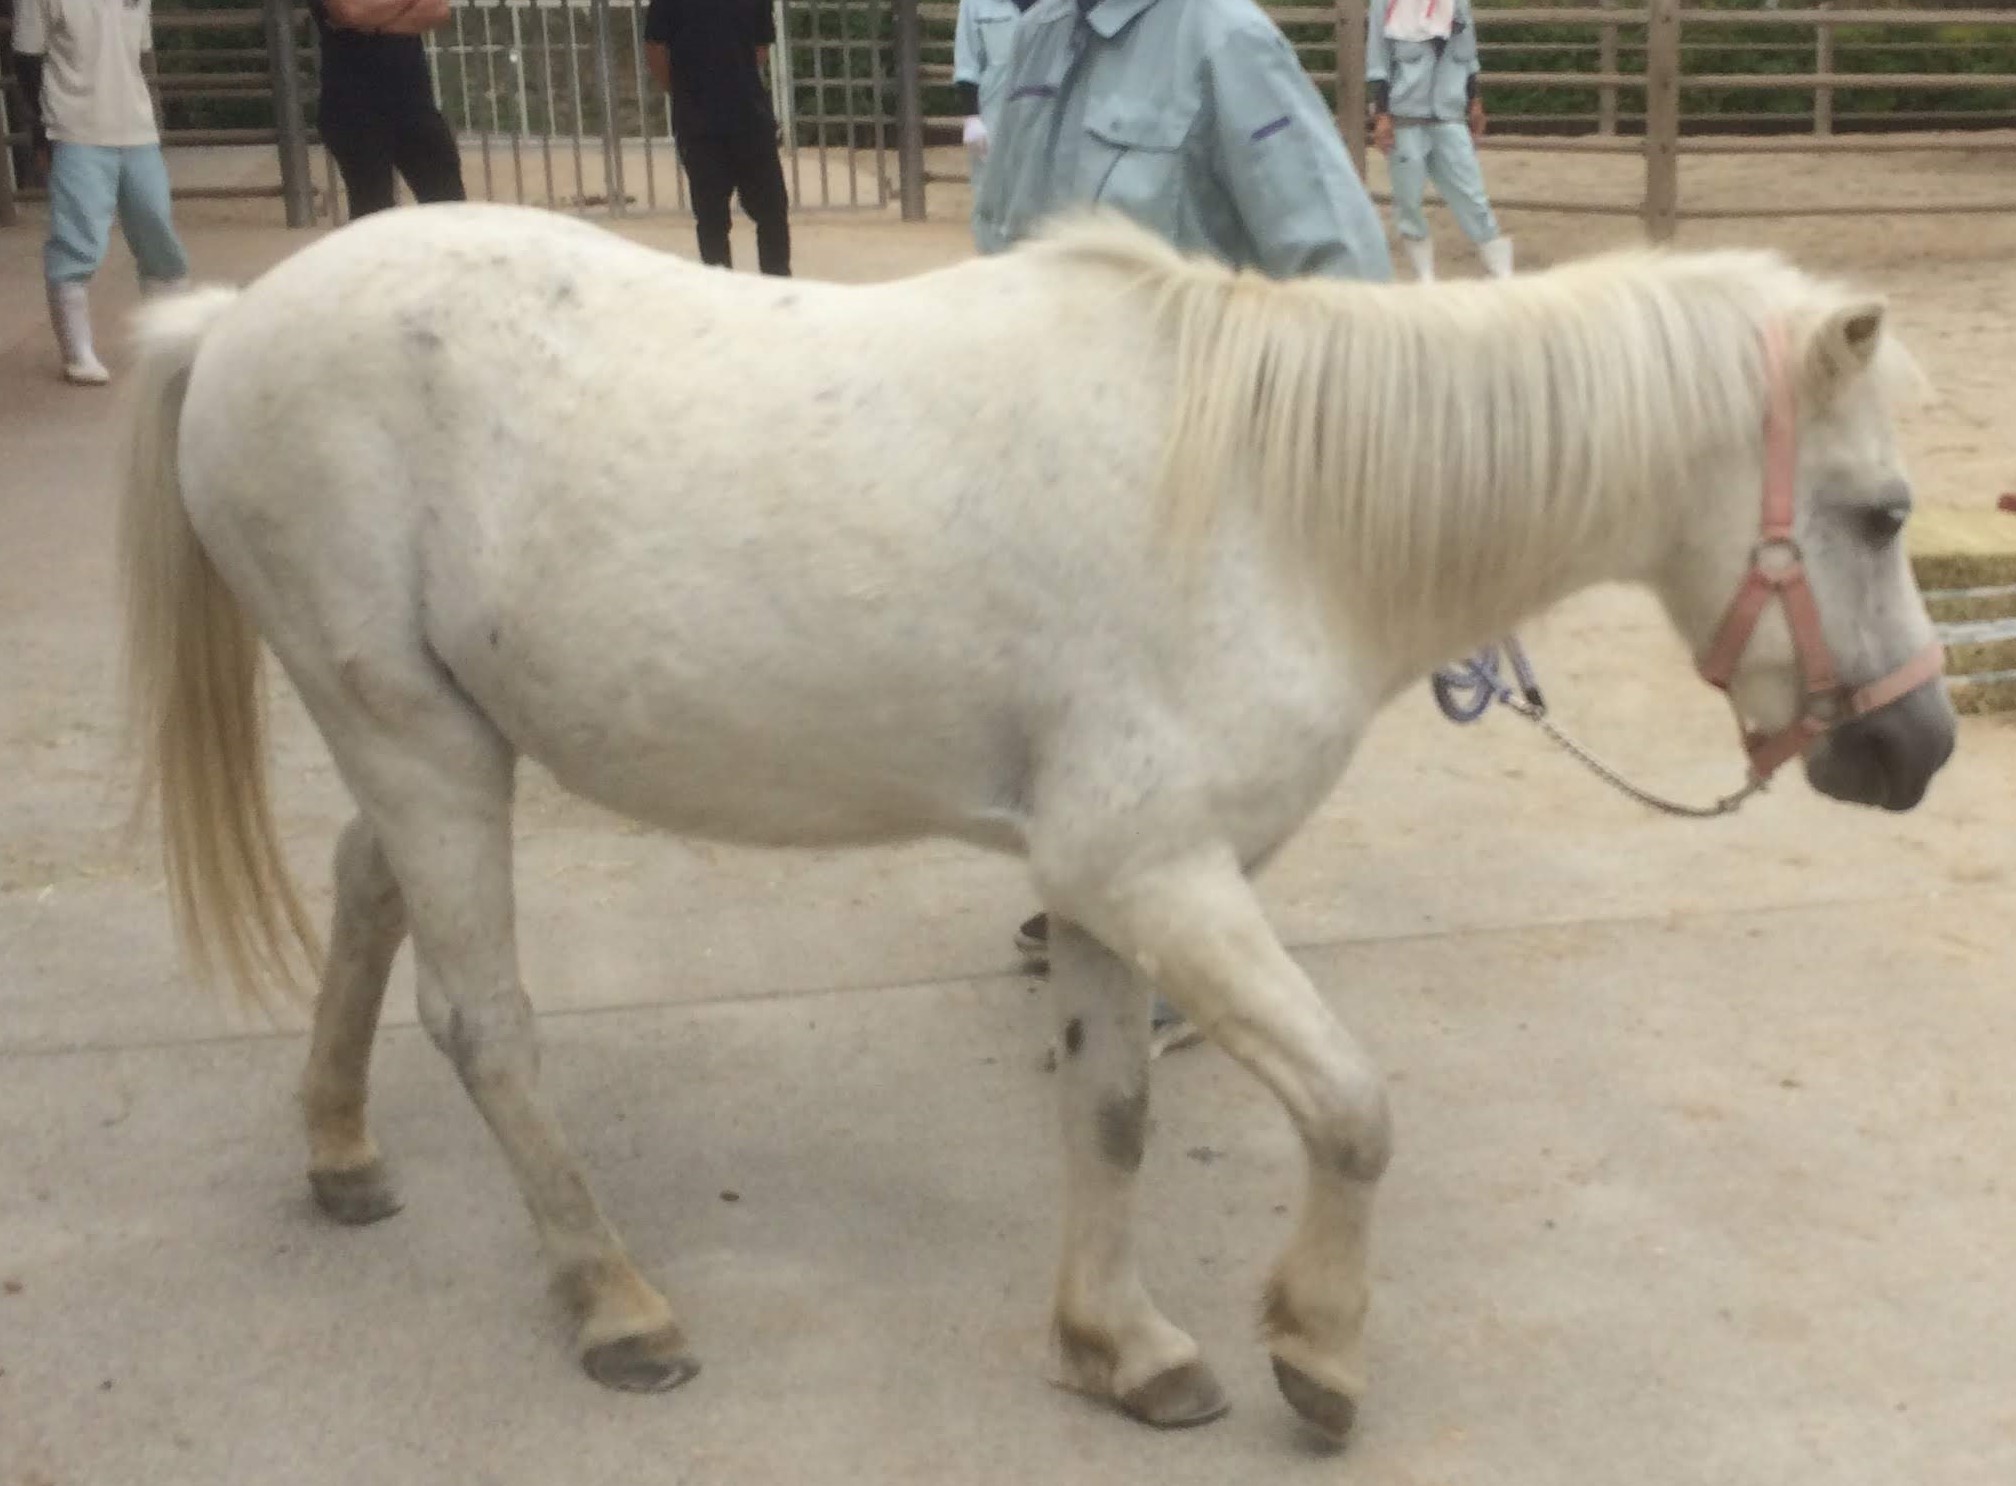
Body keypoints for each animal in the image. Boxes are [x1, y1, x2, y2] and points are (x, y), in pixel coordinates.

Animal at [119, 202, 1954, 1444]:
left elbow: (1115, 1113)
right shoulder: (1156, 875)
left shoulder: (1108, 894)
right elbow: (1352, 1109)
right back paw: (614, 1304)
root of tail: (237, 318)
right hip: (419, 738)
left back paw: (340, 1151)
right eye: (1878, 516)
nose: (1921, 747)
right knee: (483, 1020)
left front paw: (1120, 1347)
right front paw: (1318, 1348)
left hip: (432, 739)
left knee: (365, 892)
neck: (1272, 505)